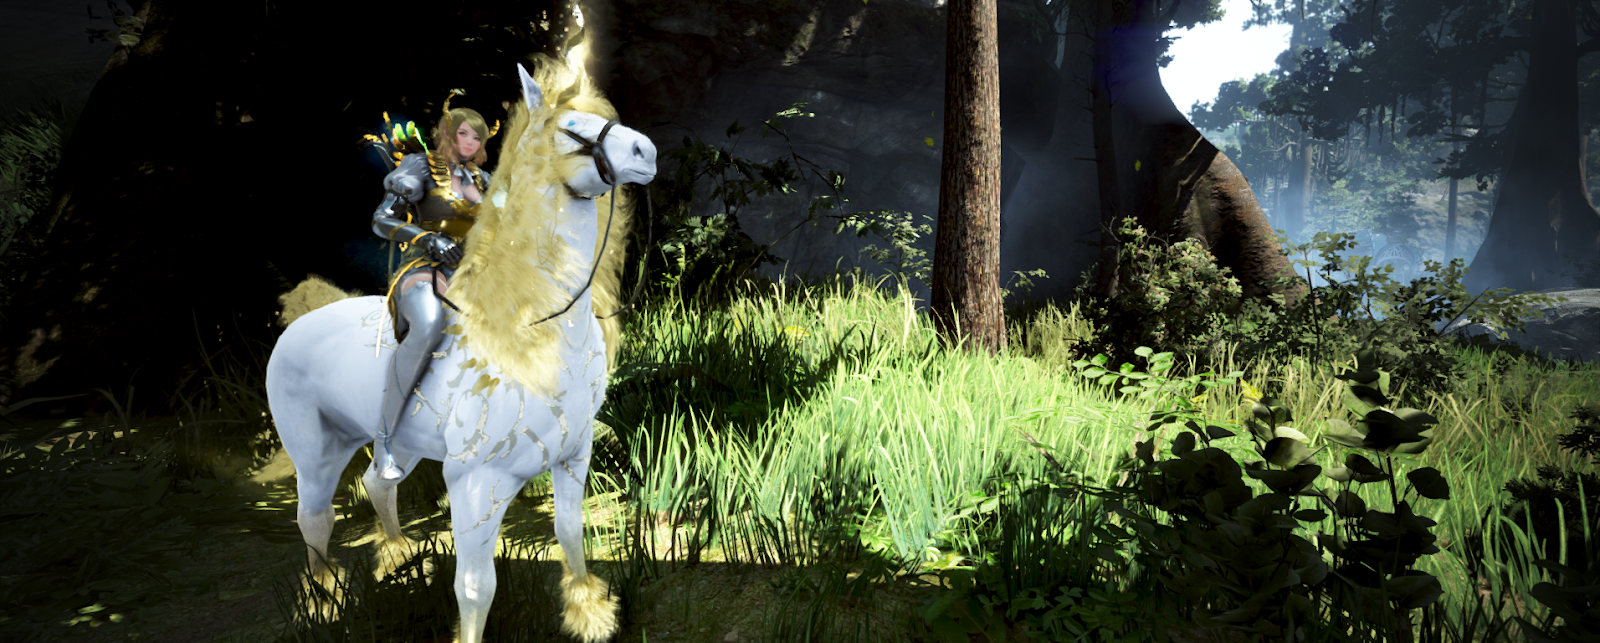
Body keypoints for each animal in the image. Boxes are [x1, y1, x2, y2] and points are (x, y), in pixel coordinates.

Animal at [265, 57, 656, 643]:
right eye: (571, 129)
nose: (645, 152)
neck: (532, 331)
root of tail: (300, 323)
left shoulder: (572, 457)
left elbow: (569, 534)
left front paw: (589, 613)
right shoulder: (475, 483)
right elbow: (476, 589)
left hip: (397, 444)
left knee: (378, 484)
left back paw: (397, 556)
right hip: (316, 451)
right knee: (314, 517)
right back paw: (324, 600)